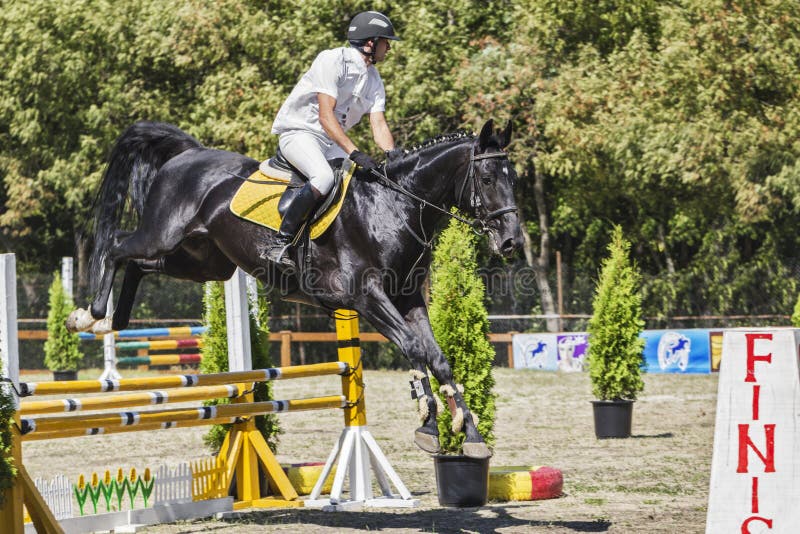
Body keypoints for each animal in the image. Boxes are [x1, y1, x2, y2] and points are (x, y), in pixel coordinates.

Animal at [67, 119, 522, 458]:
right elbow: (414, 348)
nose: (511, 242)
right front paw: (432, 422)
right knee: (117, 245)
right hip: (162, 236)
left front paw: (466, 434)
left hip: (201, 262)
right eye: (485, 177)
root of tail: (189, 153)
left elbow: (435, 356)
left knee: (138, 265)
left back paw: (112, 322)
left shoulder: (407, 299)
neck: (393, 206)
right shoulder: (366, 296)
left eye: (513, 177)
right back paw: (88, 315)